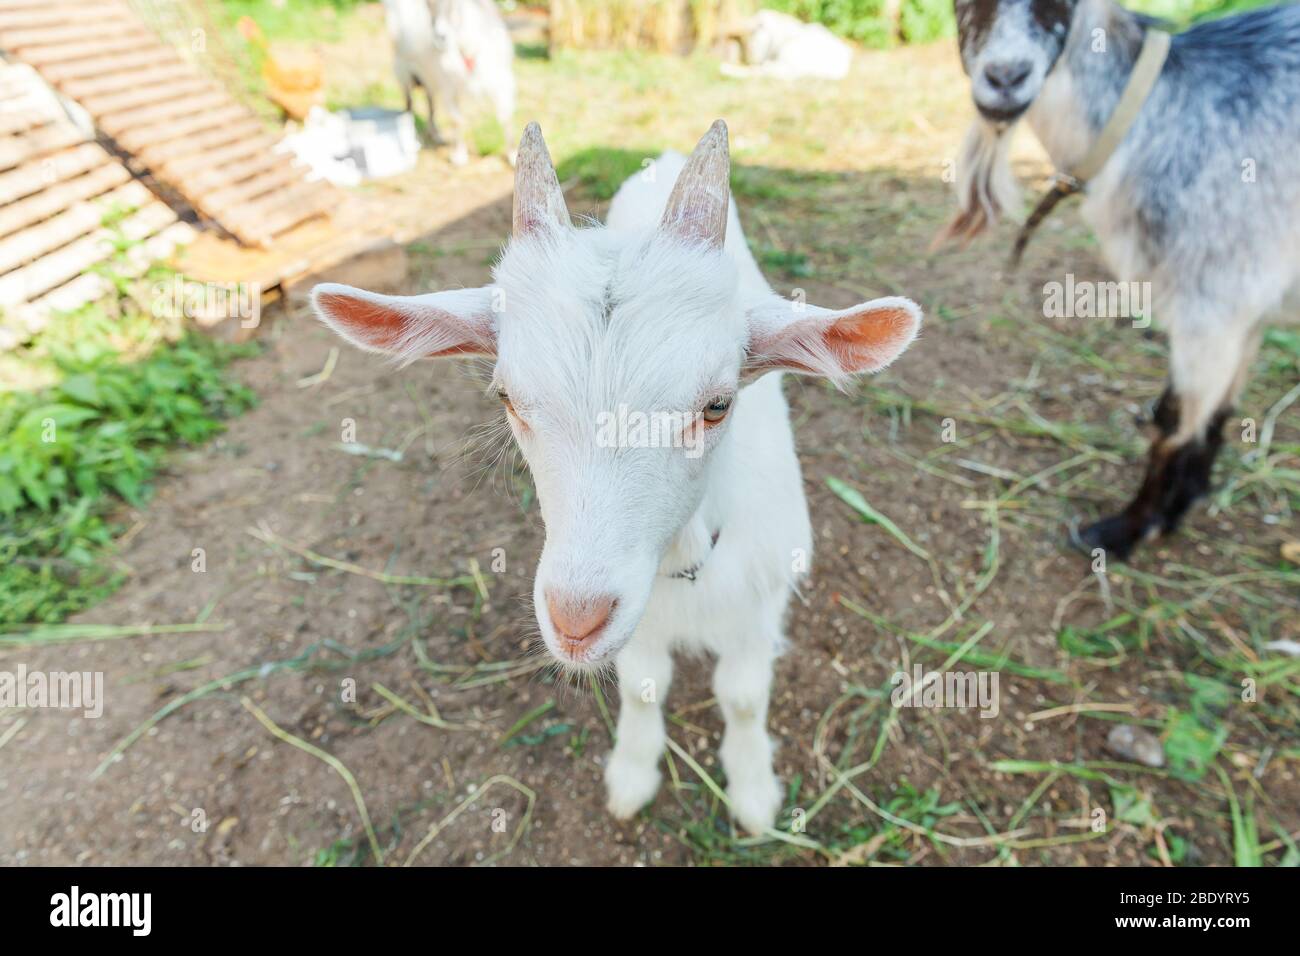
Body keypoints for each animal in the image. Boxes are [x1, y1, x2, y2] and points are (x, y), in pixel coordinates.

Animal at [311, 121, 922, 832]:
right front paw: (632, 774)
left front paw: (752, 792)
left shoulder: (762, 601)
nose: (576, 622)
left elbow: (742, 696)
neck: (687, 564)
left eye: (717, 404)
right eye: (506, 397)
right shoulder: (641, 620)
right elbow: (643, 687)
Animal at [381, 0, 516, 165]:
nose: (440, 37)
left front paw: (513, 154)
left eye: (455, 4)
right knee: (409, 106)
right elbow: (457, 120)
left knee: (430, 104)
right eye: (427, 4)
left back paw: (436, 134)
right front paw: (459, 155)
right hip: (404, 73)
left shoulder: (501, 81)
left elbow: (506, 117)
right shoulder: (449, 88)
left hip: (428, 79)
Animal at [942, 0, 1300, 560]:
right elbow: (1214, 412)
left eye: (1059, 5)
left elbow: (1175, 424)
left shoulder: (1212, 306)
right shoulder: (1242, 310)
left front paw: (1126, 530)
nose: (1005, 78)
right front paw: (1182, 503)